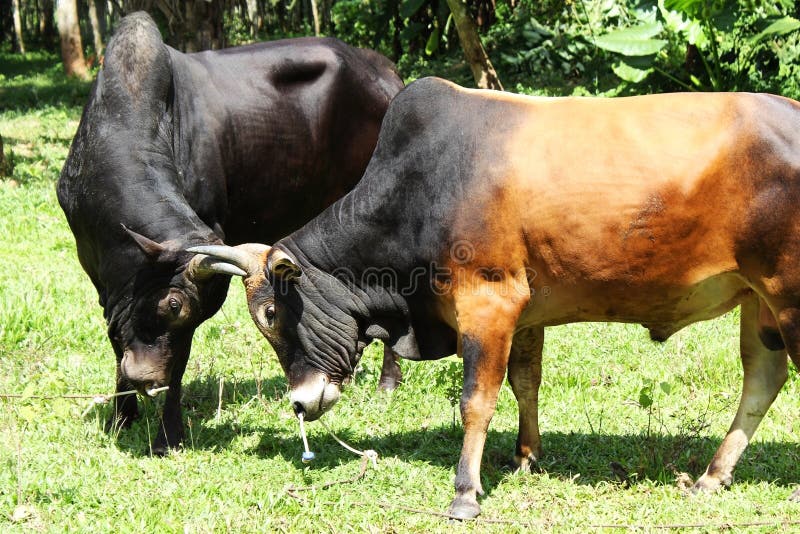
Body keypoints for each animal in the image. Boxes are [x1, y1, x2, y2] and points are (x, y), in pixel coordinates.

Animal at [56, 12, 404, 455]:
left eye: (180, 309)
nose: (147, 380)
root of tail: (383, 70)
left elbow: (178, 361)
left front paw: (168, 433)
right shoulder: (101, 277)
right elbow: (117, 338)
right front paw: (121, 417)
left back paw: (388, 382)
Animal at [188, 76, 800, 518]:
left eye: (271, 313)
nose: (299, 402)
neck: (420, 188)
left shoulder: (488, 303)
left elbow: (476, 401)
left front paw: (465, 492)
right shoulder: (526, 310)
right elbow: (525, 381)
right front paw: (527, 457)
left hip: (787, 294)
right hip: (758, 301)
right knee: (763, 378)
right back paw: (712, 476)